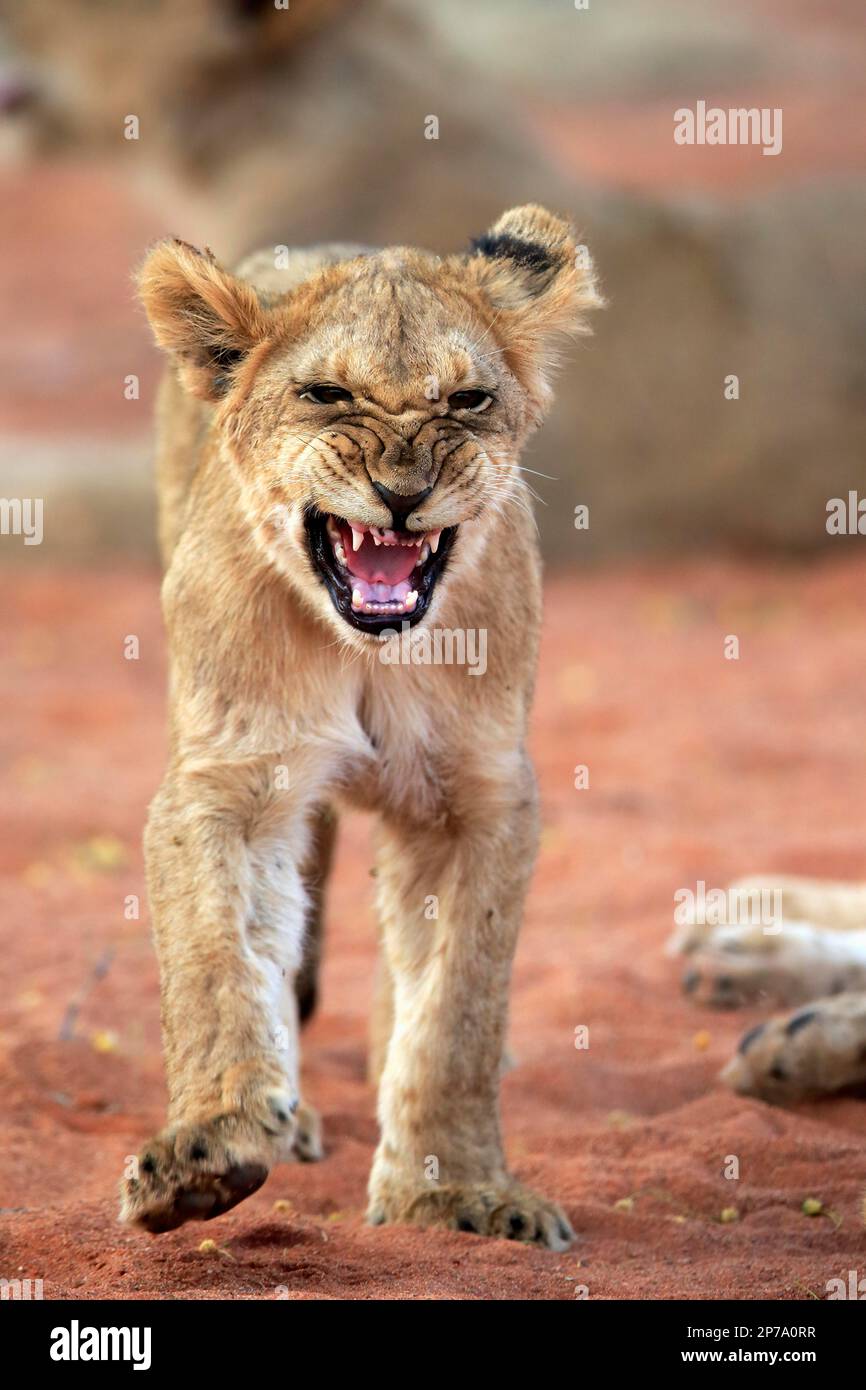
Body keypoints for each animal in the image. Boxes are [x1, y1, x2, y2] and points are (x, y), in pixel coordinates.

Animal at [118, 205, 602, 1245]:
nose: (404, 490)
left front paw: (455, 1192)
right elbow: (215, 967)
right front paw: (207, 1152)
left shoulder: (482, 797)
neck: (369, 653)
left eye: (467, 399)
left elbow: (458, 1011)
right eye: (326, 394)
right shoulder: (227, 780)